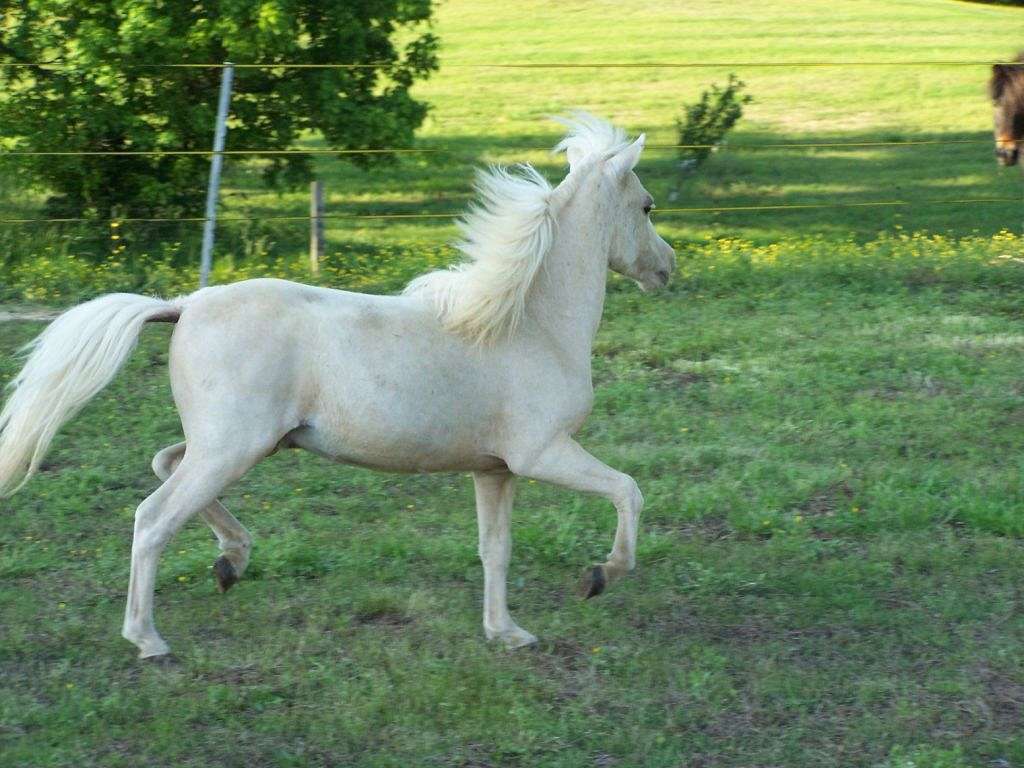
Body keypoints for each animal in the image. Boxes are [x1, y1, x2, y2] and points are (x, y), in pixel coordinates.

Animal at [0, 113, 676, 660]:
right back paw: (149, 639)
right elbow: (629, 491)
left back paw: (231, 561)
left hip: (234, 444)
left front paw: (506, 633)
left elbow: (496, 550)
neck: (531, 323)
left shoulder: (494, 469)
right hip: (231, 449)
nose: (667, 268)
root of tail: (184, 305)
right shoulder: (542, 453)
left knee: (164, 462)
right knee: (153, 517)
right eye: (646, 206)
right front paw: (599, 576)